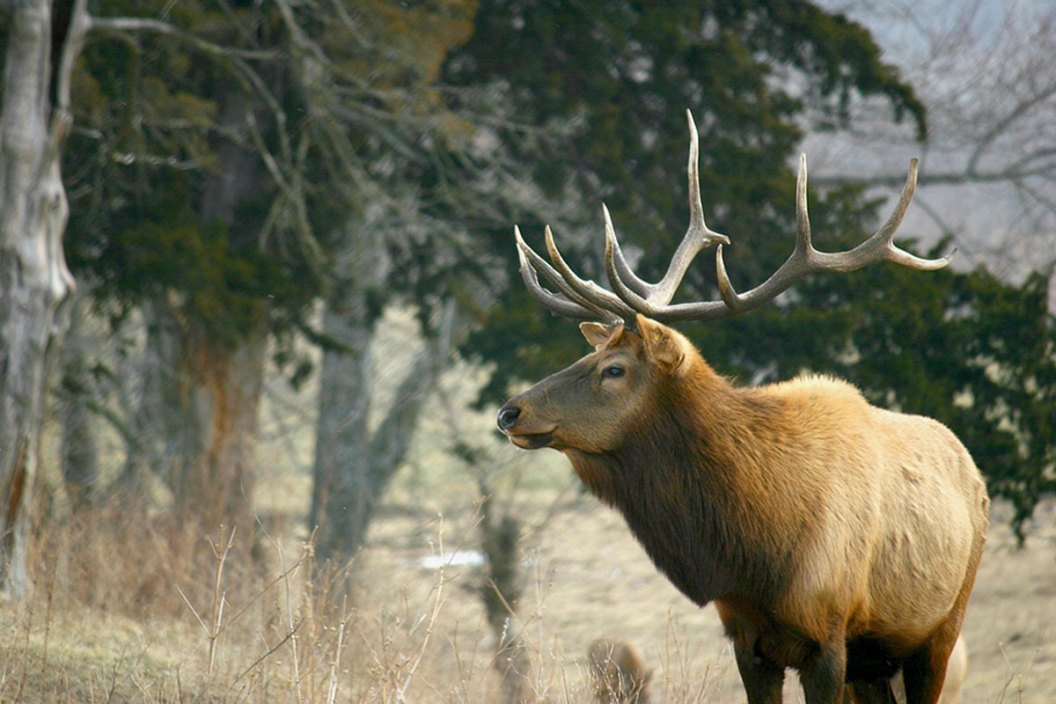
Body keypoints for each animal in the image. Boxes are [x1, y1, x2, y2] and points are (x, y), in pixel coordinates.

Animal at [496, 111, 989, 704]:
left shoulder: (828, 635)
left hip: (942, 627)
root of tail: (971, 465)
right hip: (876, 661)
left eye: (613, 369)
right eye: (588, 353)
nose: (510, 413)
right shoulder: (746, 638)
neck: (755, 551)